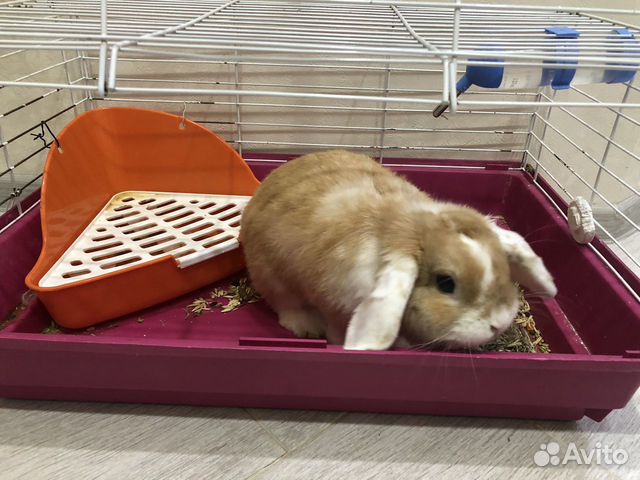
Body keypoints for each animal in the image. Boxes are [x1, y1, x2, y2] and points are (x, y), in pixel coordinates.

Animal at [239, 150, 557, 351]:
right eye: (445, 283)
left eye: (502, 266)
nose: (499, 323)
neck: (407, 224)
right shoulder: (336, 307)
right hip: (272, 275)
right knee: (284, 303)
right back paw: (306, 326)